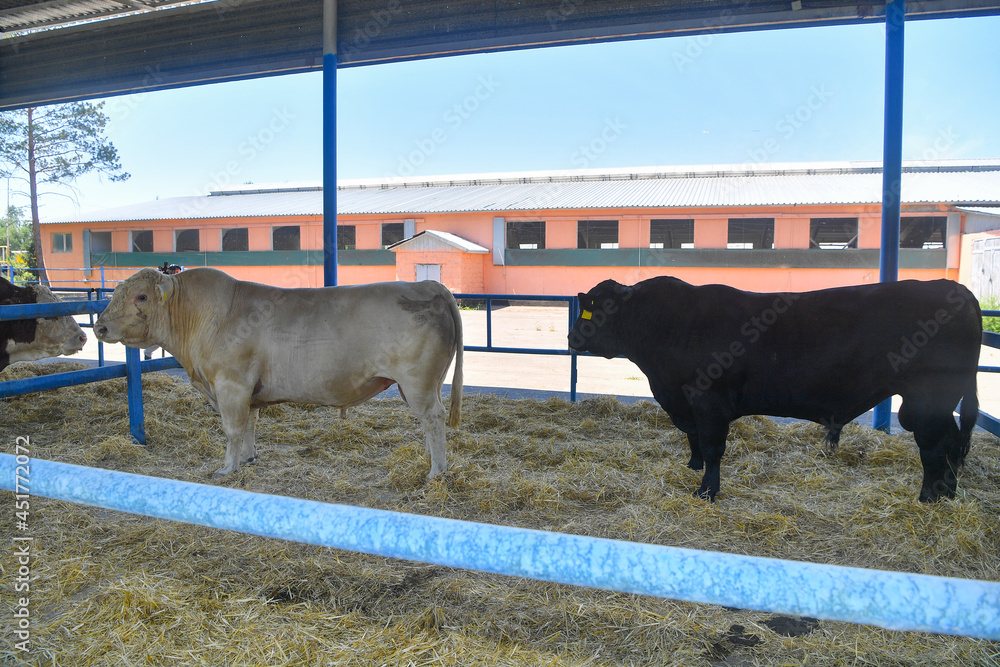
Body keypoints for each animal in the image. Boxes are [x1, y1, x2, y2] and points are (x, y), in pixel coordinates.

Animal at [93, 267, 463, 479]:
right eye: (116, 293)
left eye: (141, 296)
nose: (100, 327)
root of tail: (430, 284)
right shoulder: (248, 391)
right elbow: (249, 425)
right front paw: (248, 458)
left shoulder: (230, 384)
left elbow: (232, 429)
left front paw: (226, 469)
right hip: (424, 383)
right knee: (430, 421)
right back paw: (431, 460)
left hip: (417, 381)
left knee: (433, 417)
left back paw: (437, 471)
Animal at [569, 276, 981, 503]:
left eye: (593, 309)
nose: (571, 338)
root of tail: (957, 289)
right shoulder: (685, 401)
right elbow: (694, 440)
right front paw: (692, 467)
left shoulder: (709, 401)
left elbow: (713, 447)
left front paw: (706, 491)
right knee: (951, 441)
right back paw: (945, 493)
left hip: (928, 399)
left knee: (936, 445)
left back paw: (929, 497)